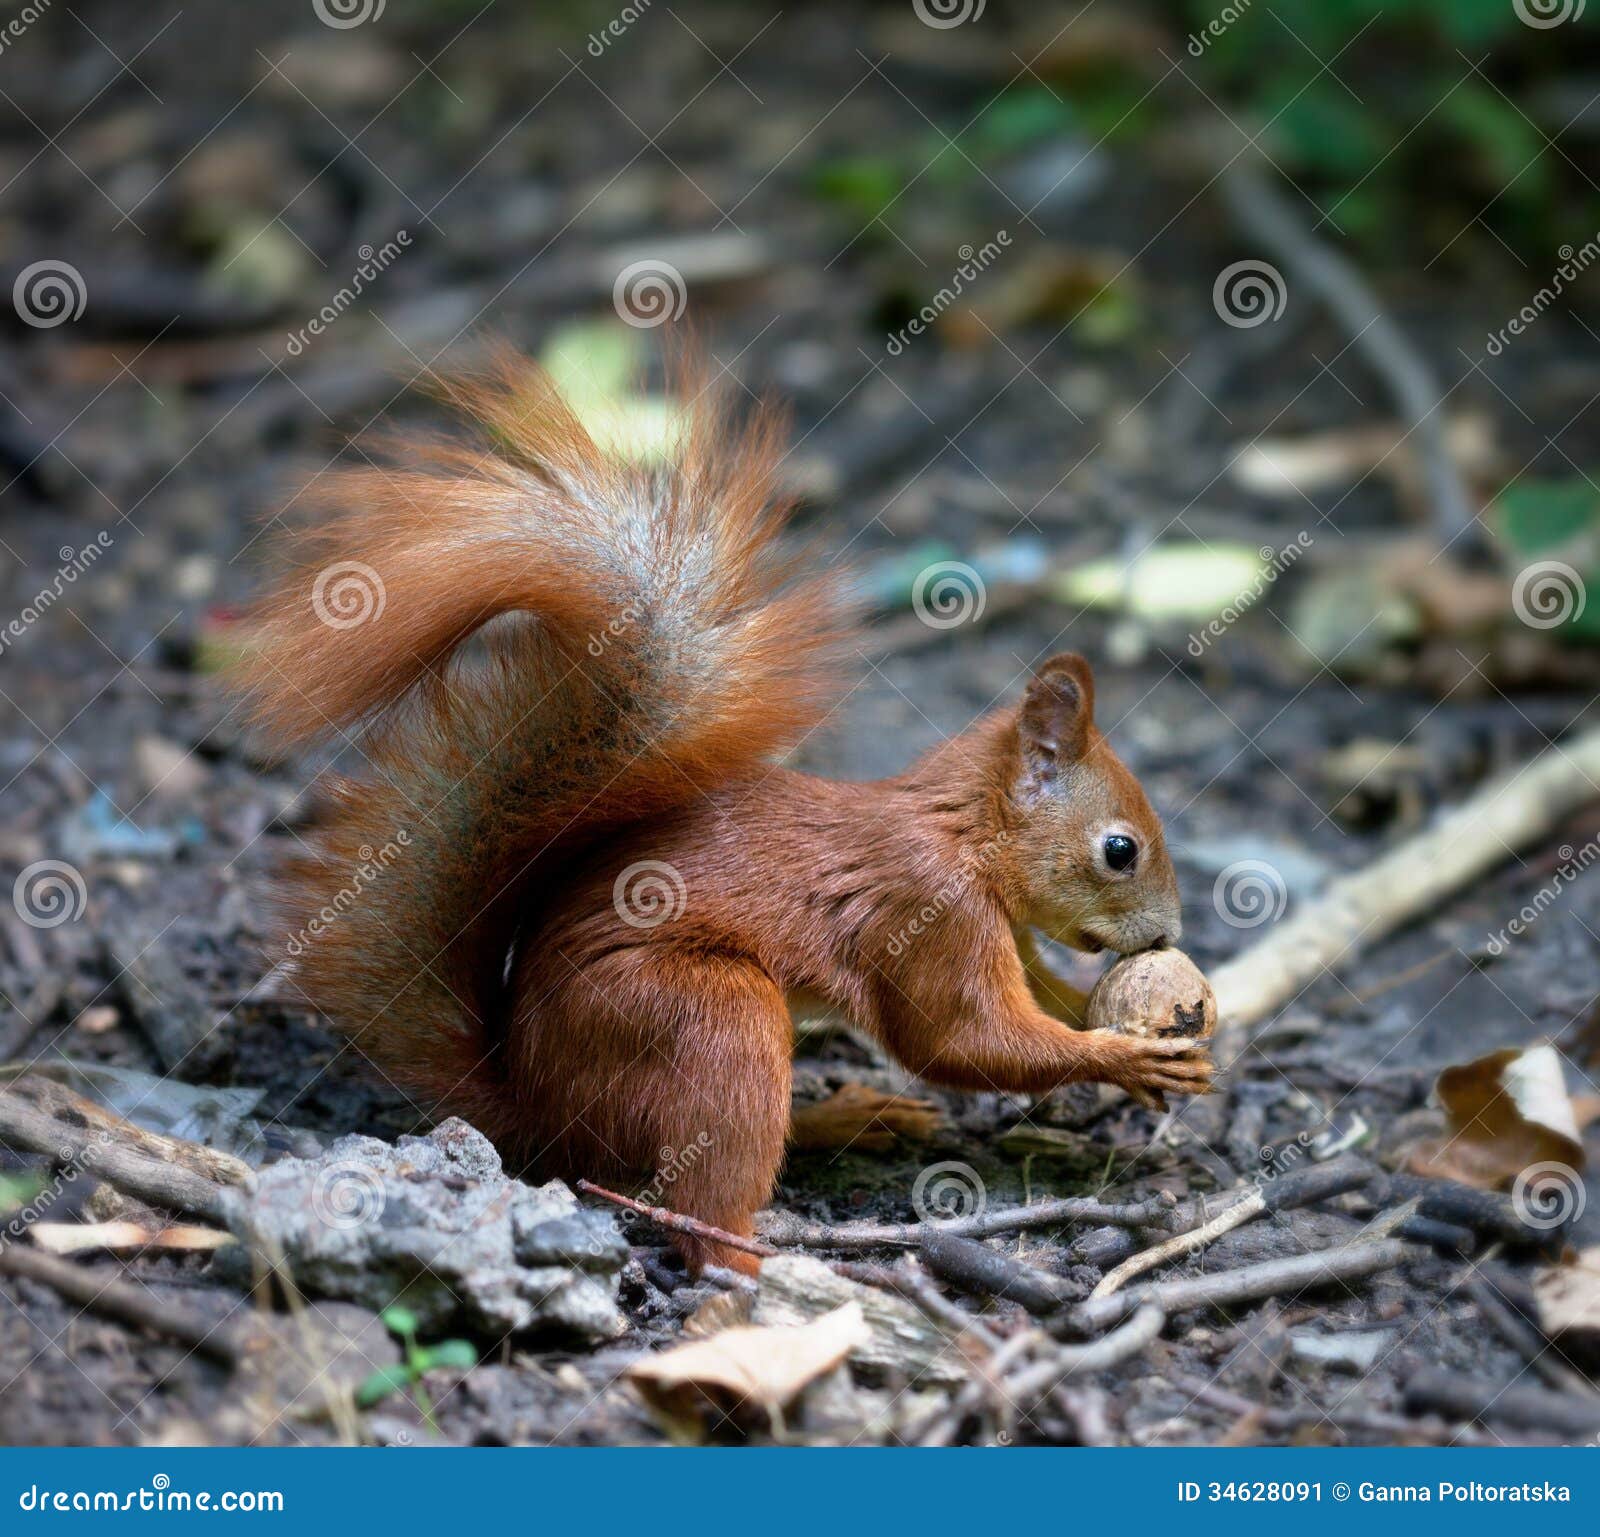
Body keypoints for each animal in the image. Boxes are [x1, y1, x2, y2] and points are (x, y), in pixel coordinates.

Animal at [233, 352, 1213, 1276]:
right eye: (1119, 849)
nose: (1169, 934)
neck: (964, 836)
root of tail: (538, 1113)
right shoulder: (928, 911)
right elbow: (964, 1041)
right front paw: (1127, 1056)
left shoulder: (1002, 928)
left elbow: (1035, 1001)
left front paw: (1121, 1028)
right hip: (706, 1018)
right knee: (702, 1196)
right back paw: (762, 1270)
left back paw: (848, 1118)